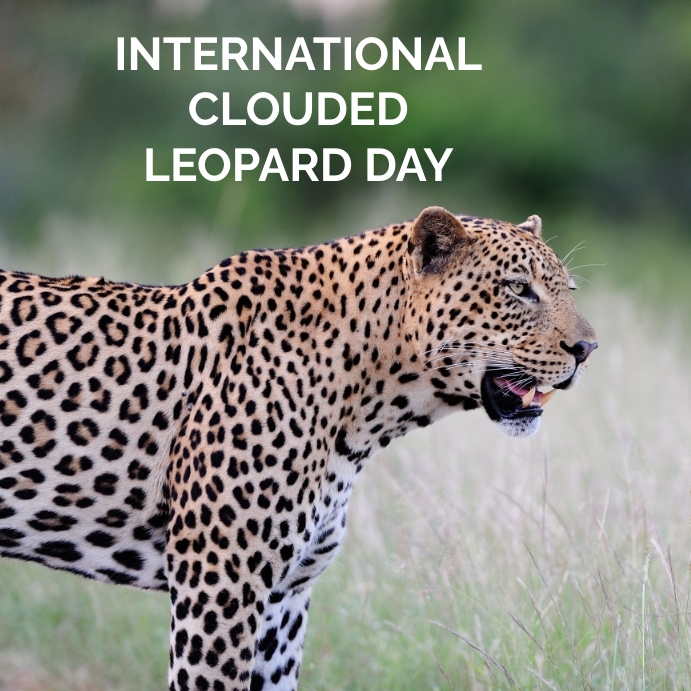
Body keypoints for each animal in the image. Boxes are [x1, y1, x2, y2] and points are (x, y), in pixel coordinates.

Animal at [0, 207, 597, 691]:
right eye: (518, 289)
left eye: (566, 289)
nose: (588, 348)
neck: (367, 411)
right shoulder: (217, 584)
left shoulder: (285, 598)